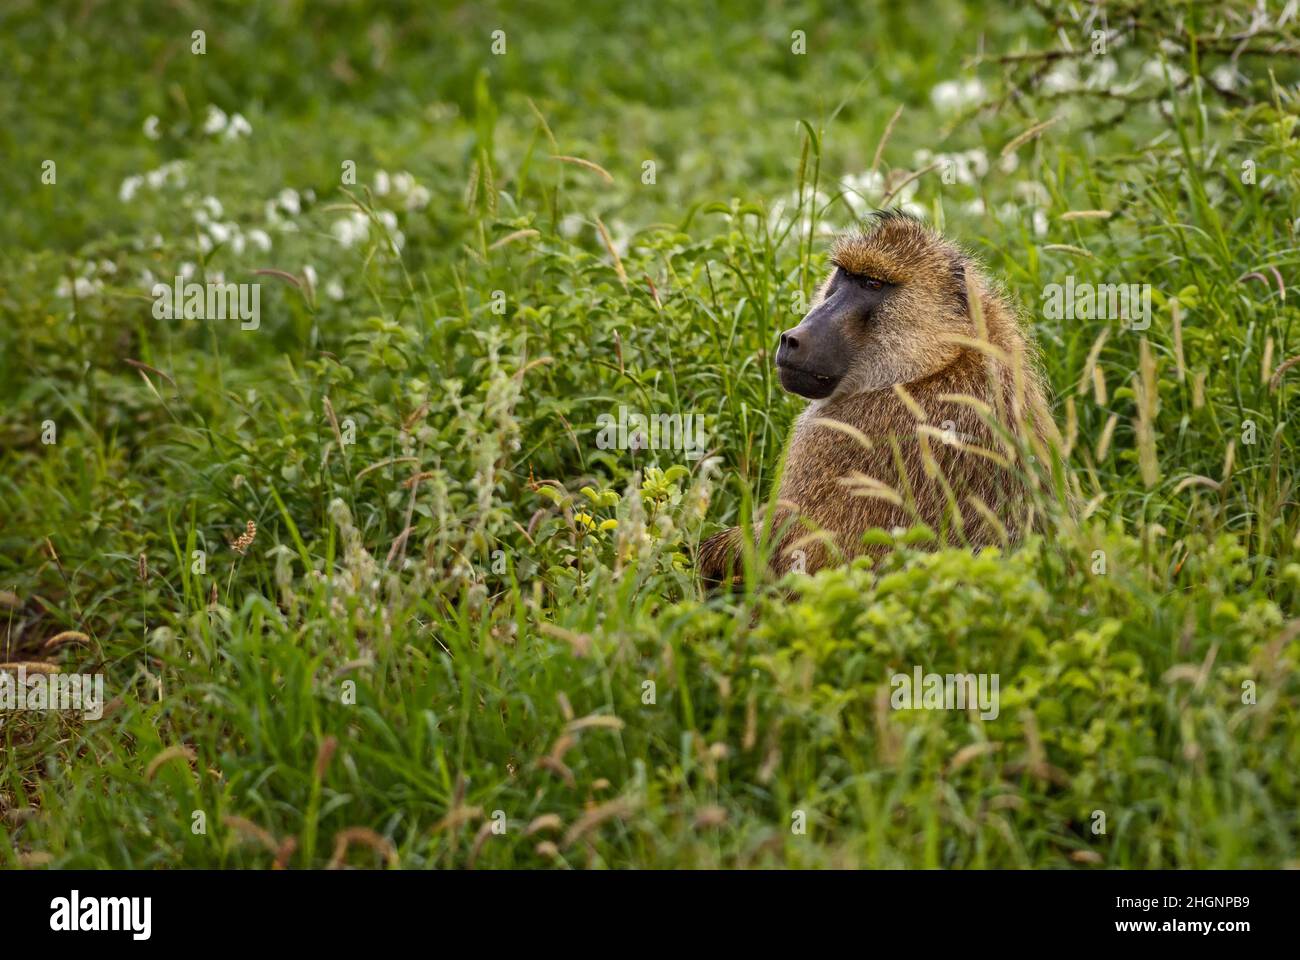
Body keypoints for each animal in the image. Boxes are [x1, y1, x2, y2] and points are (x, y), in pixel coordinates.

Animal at [697, 210, 1062, 586]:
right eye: (845, 275)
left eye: (873, 284)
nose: (792, 339)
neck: (935, 363)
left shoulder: (839, 435)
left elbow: (797, 556)